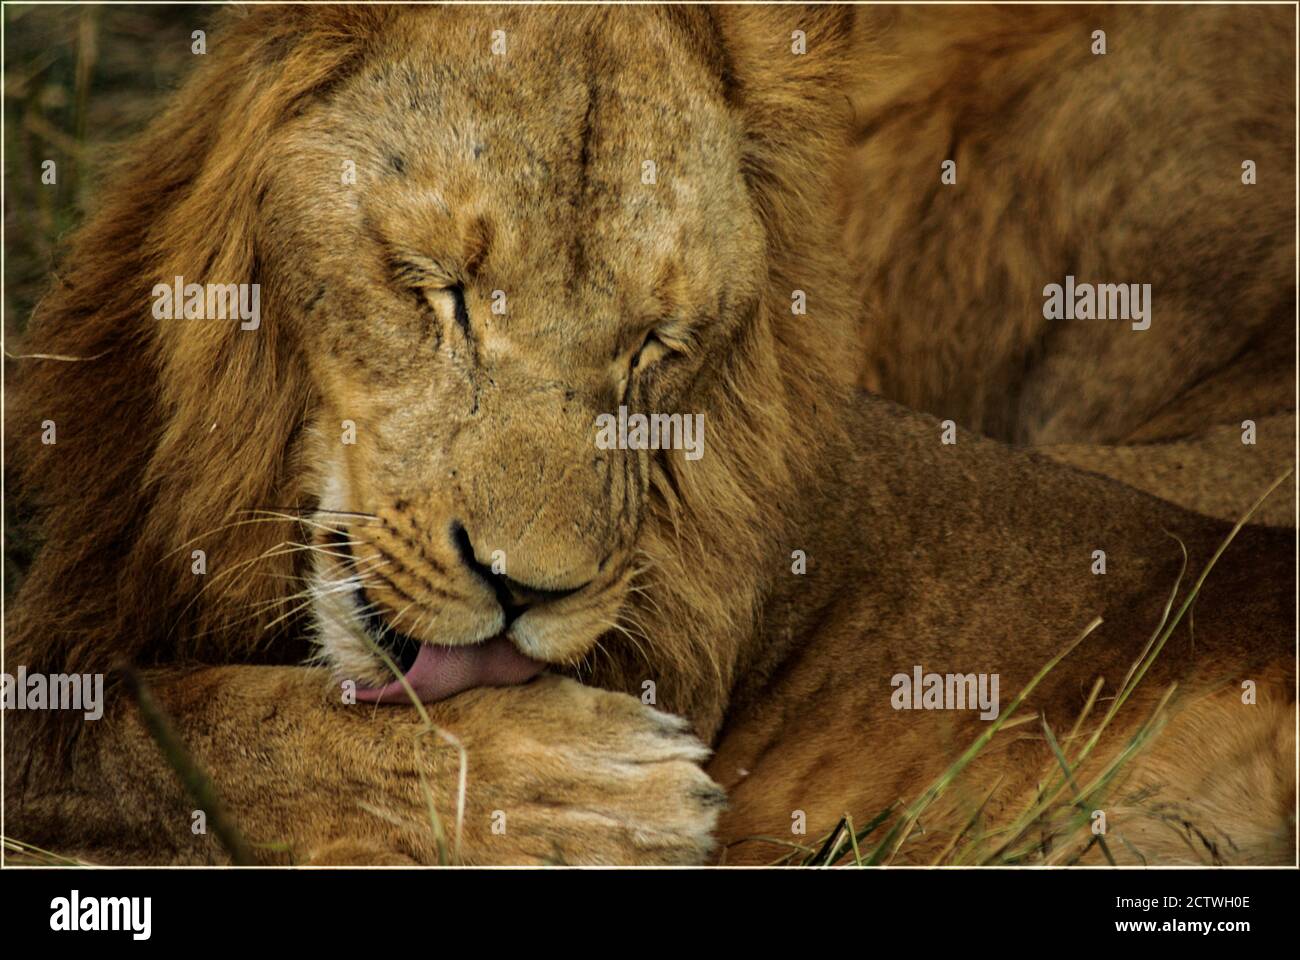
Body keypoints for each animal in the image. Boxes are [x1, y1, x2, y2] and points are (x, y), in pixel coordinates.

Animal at [5, 4, 1294, 866]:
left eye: (654, 346)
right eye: (440, 290)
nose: (526, 592)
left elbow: (173, 720)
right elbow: (176, 722)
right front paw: (564, 793)